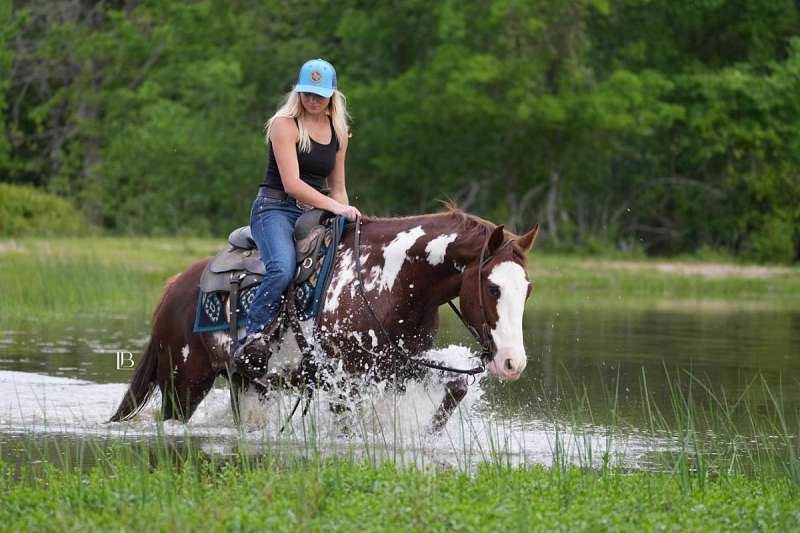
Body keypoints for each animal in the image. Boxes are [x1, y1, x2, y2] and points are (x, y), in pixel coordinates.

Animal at [109, 207, 539, 432]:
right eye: (493, 289)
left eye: (528, 288)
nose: (512, 362)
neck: (390, 279)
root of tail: (173, 290)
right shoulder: (345, 379)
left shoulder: (398, 367)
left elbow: (456, 385)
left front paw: (428, 430)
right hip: (184, 384)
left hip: (248, 384)